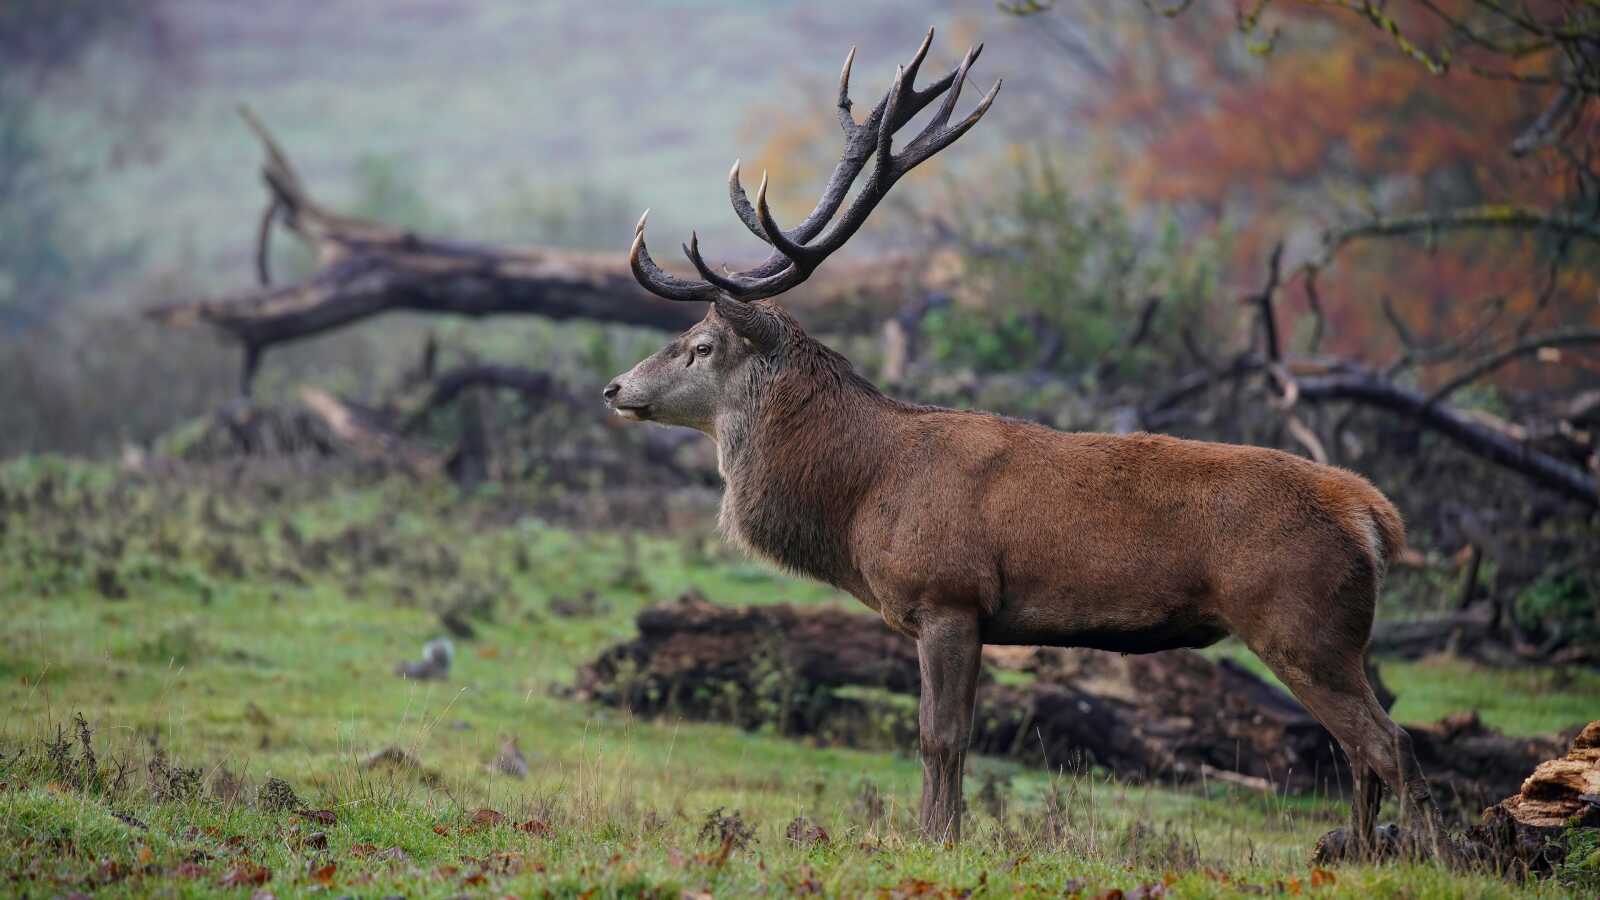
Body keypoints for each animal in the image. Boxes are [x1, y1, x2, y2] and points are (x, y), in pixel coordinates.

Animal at [603, 30, 1448, 856]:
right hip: (1342, 637)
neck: (860, 496)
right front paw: (943, 833)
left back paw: (1431, 856)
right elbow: (953, 735)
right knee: (1360, 751)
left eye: (702, 345)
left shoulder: (948, 594)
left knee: (1390, 743)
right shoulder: (961, 615)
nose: (615, 388)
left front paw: (937, 840)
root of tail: (1374, 515)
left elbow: (940, 737)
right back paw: (1359, 854)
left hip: (1300, 623)